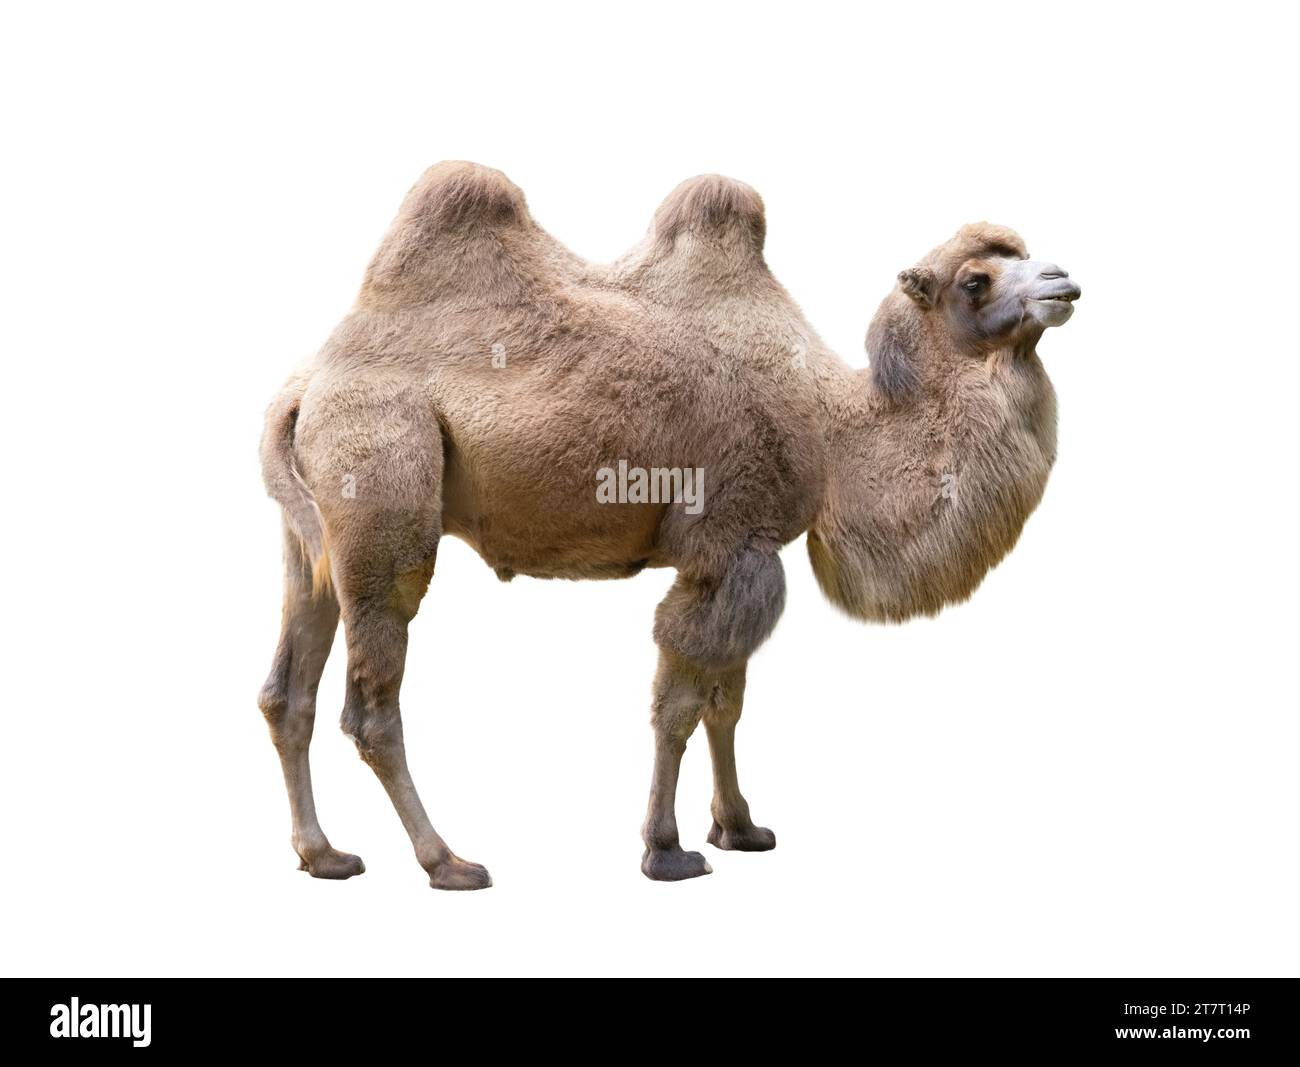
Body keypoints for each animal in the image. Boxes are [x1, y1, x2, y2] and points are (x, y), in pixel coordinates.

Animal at [258, 162, 1081, 888]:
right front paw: (667, 850)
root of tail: (306, 386)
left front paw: (740, 827)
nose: (1065, 282)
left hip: (312, 533)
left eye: (1024, 258)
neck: (832, 432)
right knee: (372, 703)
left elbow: (727, 700)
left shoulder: (739, 556)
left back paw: (324, 855)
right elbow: (681, 703)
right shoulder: (733, 546)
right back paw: (448, 862)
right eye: (975, 280)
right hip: (384, 479)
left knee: (287, 691)